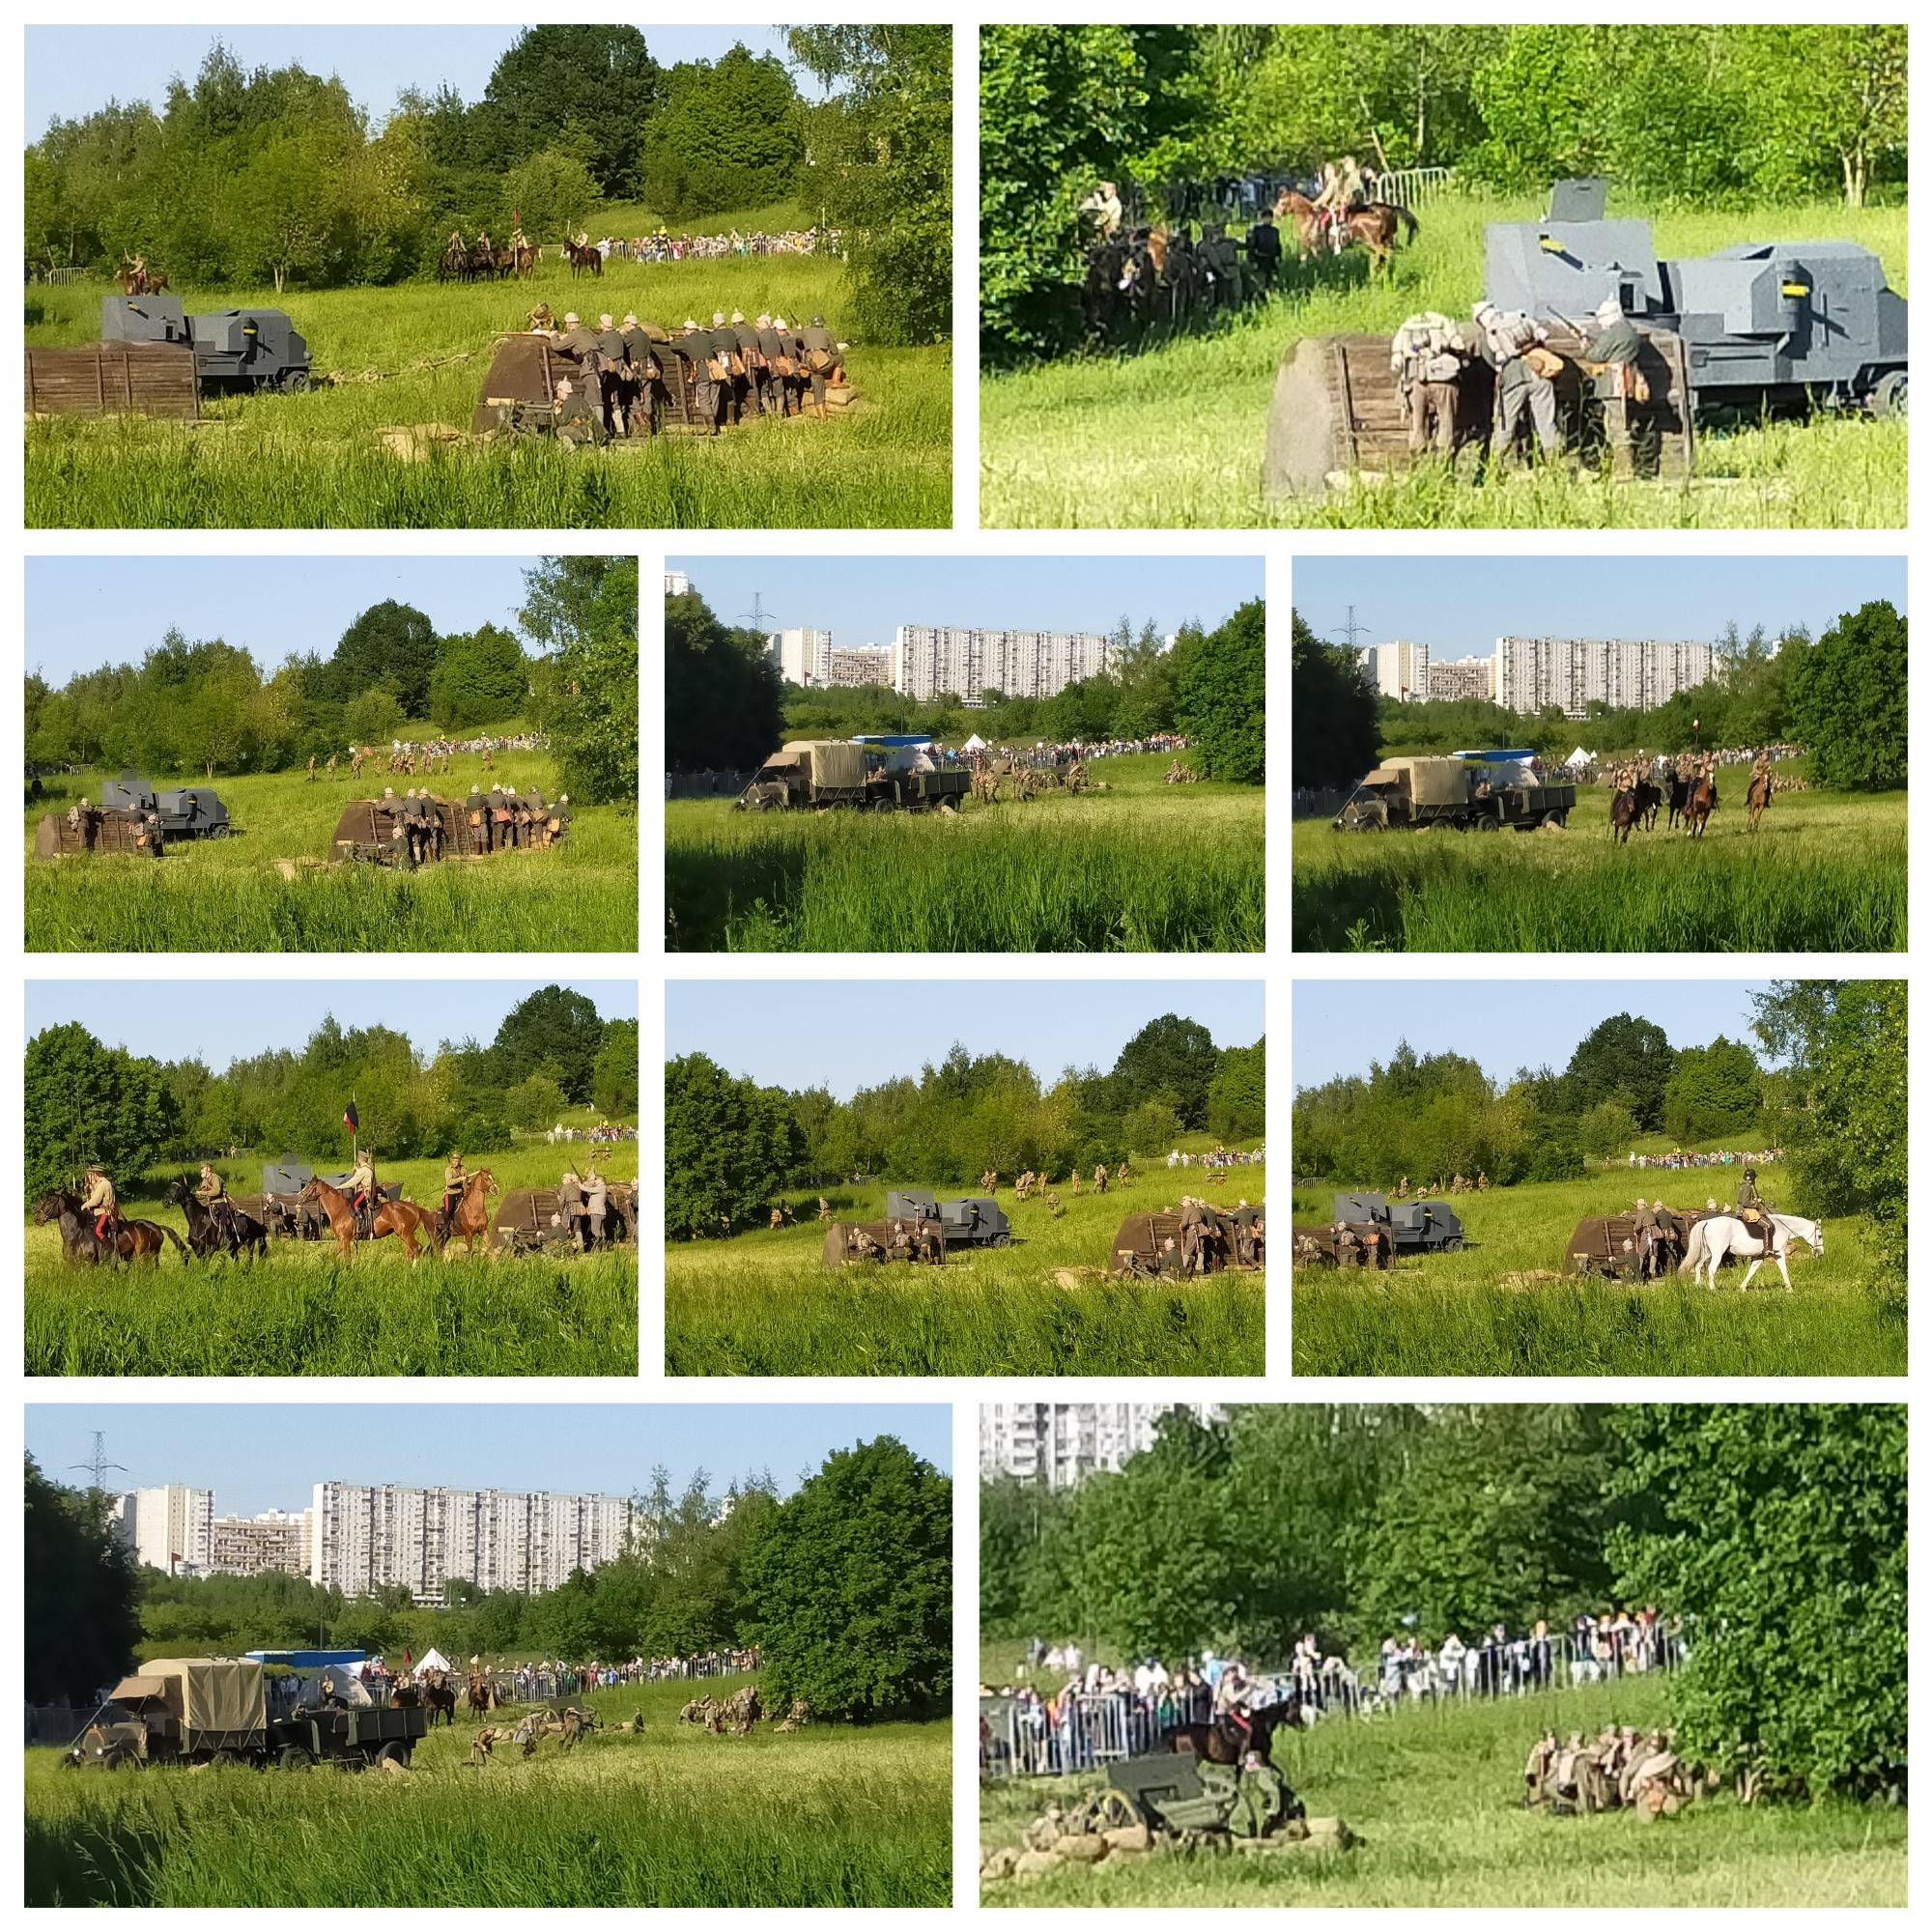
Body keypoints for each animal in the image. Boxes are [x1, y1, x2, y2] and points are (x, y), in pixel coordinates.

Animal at [1677, 1213, 1808, 1291]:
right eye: (1817, 1236)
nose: (1816, 1252)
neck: (1783, 1227)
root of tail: (1707, 1222)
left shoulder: (1760, 1256)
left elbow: (1752, 1270)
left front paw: (1743, 1288)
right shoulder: (1779, 1253)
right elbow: (1784, 1270)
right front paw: (1790, 1289)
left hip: (1708, 1252)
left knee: (1698, 1265)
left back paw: (1698, 1284)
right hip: (1717, 1253)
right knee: (1711, 1269)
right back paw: (1713, 1289)